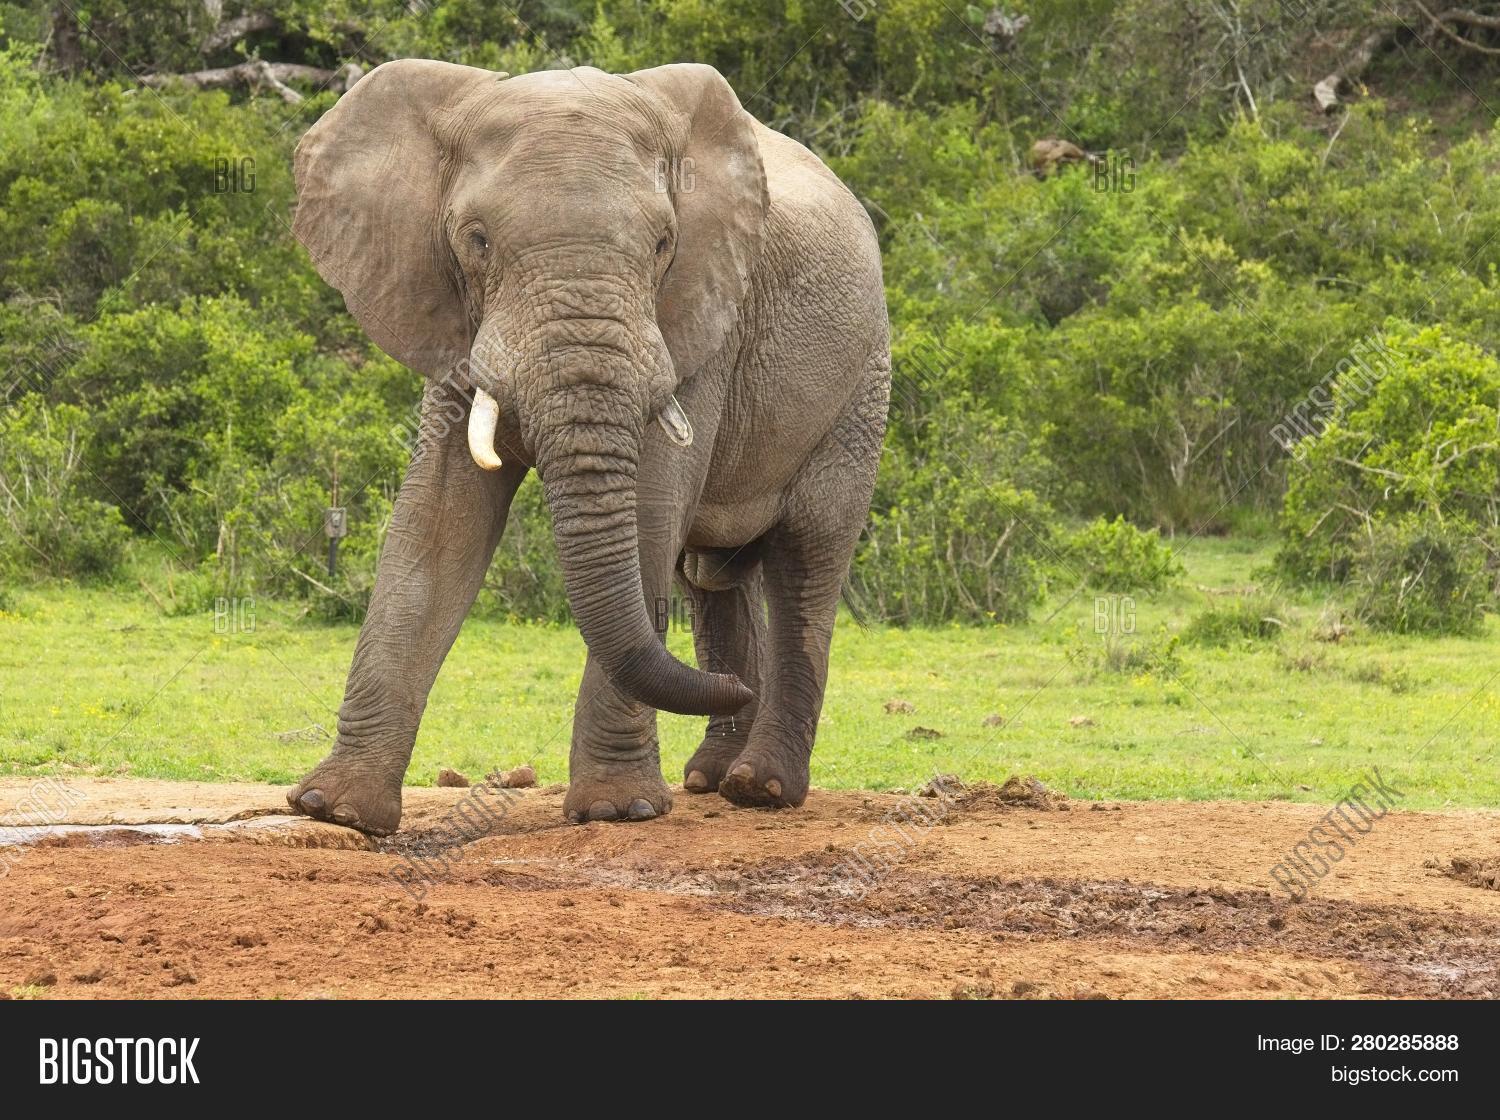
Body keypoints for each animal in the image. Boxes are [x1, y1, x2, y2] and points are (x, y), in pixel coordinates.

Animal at [286, 59, 889, 833]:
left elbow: (651, 512)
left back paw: (761, 788)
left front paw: (618, 809)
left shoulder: (700, 320)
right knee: (711, 577)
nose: (728, 686)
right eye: (476, 240)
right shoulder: (450, 316)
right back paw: (712, 772)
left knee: (807, 559)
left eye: (663, 244)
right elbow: (436, 522)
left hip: (860, 388)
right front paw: (335, 811)